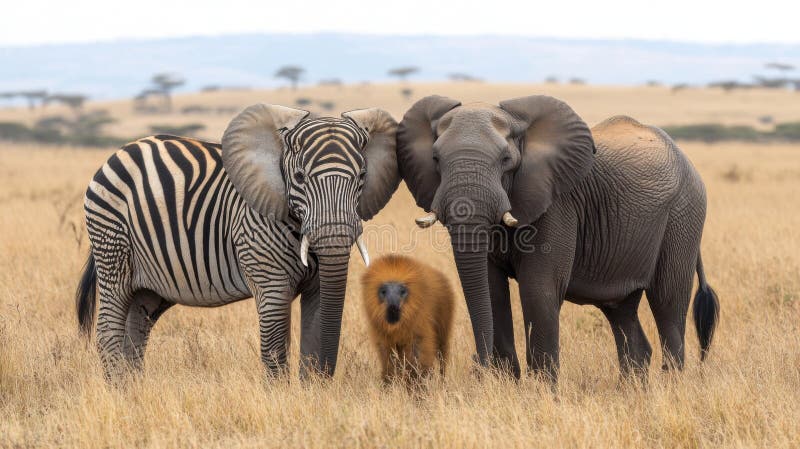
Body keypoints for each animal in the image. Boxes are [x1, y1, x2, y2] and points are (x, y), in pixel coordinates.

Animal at [75, 104, 400, 378]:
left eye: (362, 176)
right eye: (299, 177)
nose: (327, 378)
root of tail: (120, 152)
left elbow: (316, 326)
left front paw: (312, 391)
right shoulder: (259, 250)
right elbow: (275, 343)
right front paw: (280, 398)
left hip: (150, 282)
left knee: (136, 326)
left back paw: (134, 390)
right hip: (111, 232)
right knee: (110, 323)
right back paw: (118, 392)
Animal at [361, 255, 455, 384]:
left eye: (402, 291)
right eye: (383, 291)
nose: (393, 307)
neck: (397, 325)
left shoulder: (418, 336)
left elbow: (417, 364)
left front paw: (417, 385)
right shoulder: (384, 340)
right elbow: (389, 364)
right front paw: (389, 384)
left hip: (443, 332)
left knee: (442, 360)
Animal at [396, 95, 720, 381]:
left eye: (505, 159)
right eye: (436, 159)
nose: (478, 367)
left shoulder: (557, 205)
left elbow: (539, 290)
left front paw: (539, 393)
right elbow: (491, 289)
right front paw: (506, 385)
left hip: (683, 215)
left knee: (668, 302)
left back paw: (669, 388)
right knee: (622, 312)